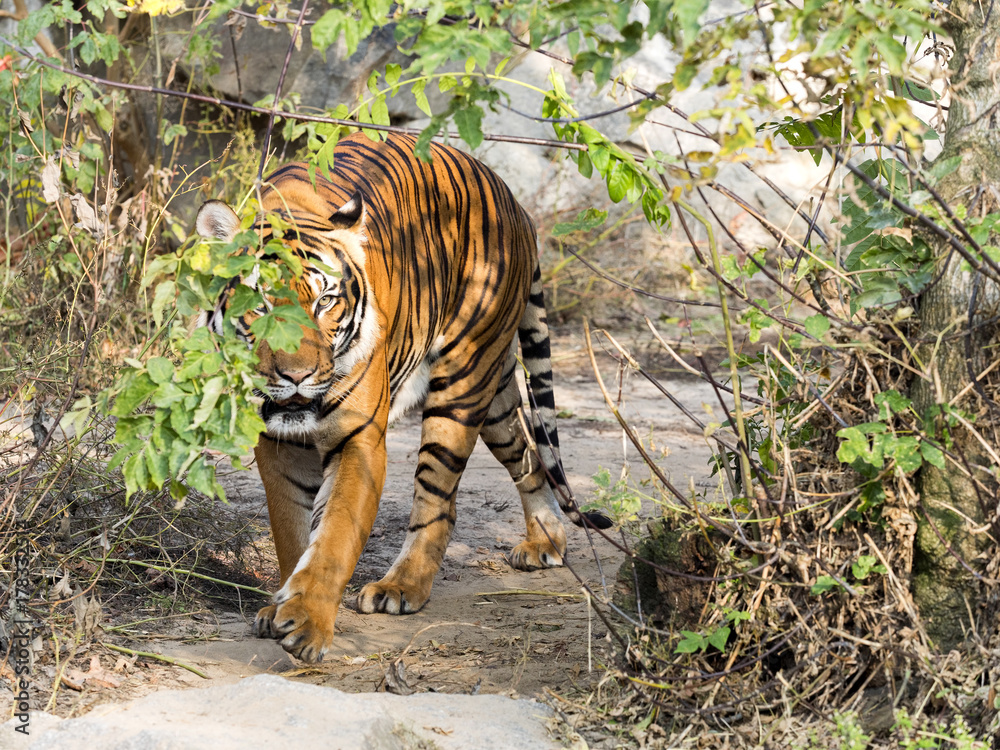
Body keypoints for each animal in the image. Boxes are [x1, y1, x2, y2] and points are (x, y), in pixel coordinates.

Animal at [195, 131, 610, 663]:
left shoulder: (359, 441)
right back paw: (545, 542)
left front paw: (306, 622)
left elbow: (334, 537)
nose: (297, 376)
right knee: (530, 455)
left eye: (325, 301)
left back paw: (402, 587)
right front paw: (280, 603)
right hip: (494, 392)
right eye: (260, 305)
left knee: (440, 501)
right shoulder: (277, 444)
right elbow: (293, 532)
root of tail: (514, 200)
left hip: (462, 385)